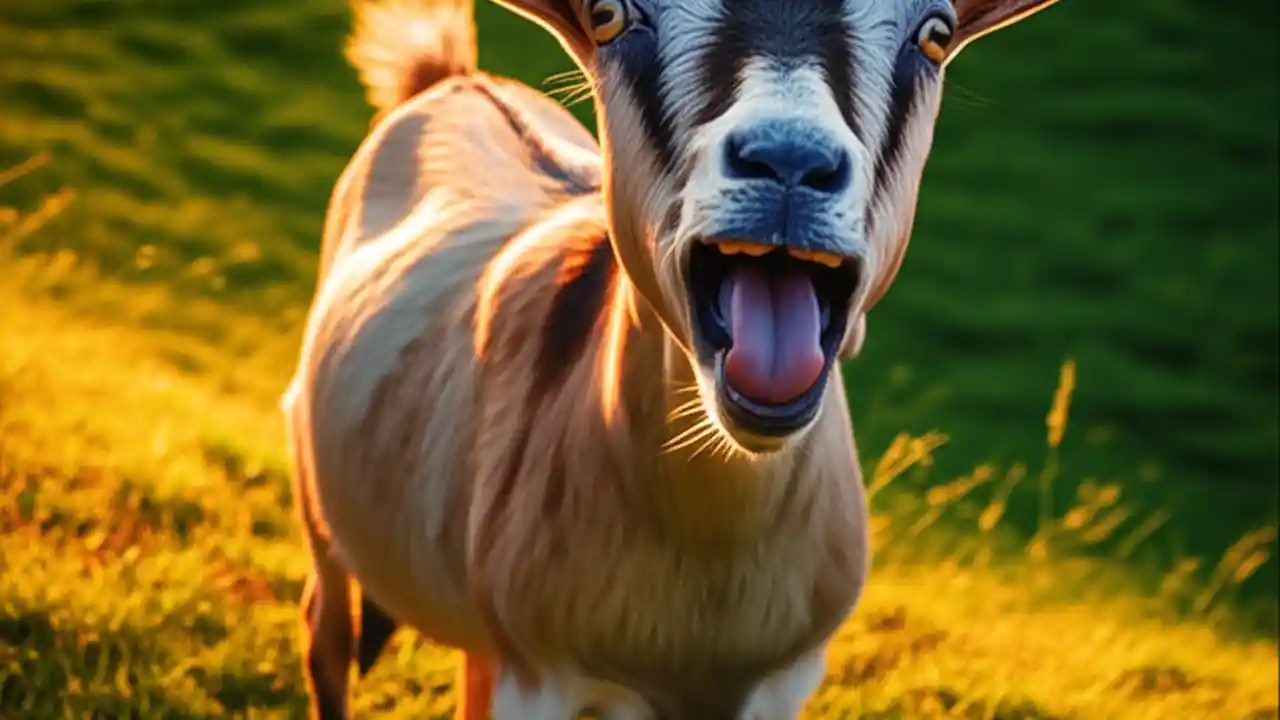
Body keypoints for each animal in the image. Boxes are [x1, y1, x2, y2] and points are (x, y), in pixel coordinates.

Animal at [283, 0, 1060, 717]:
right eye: (607, 16)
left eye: (935, 33)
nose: (789, 159)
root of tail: (452, 79)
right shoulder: (535, 676)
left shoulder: (782, 682)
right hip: (320, 505)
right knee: (326, 633)